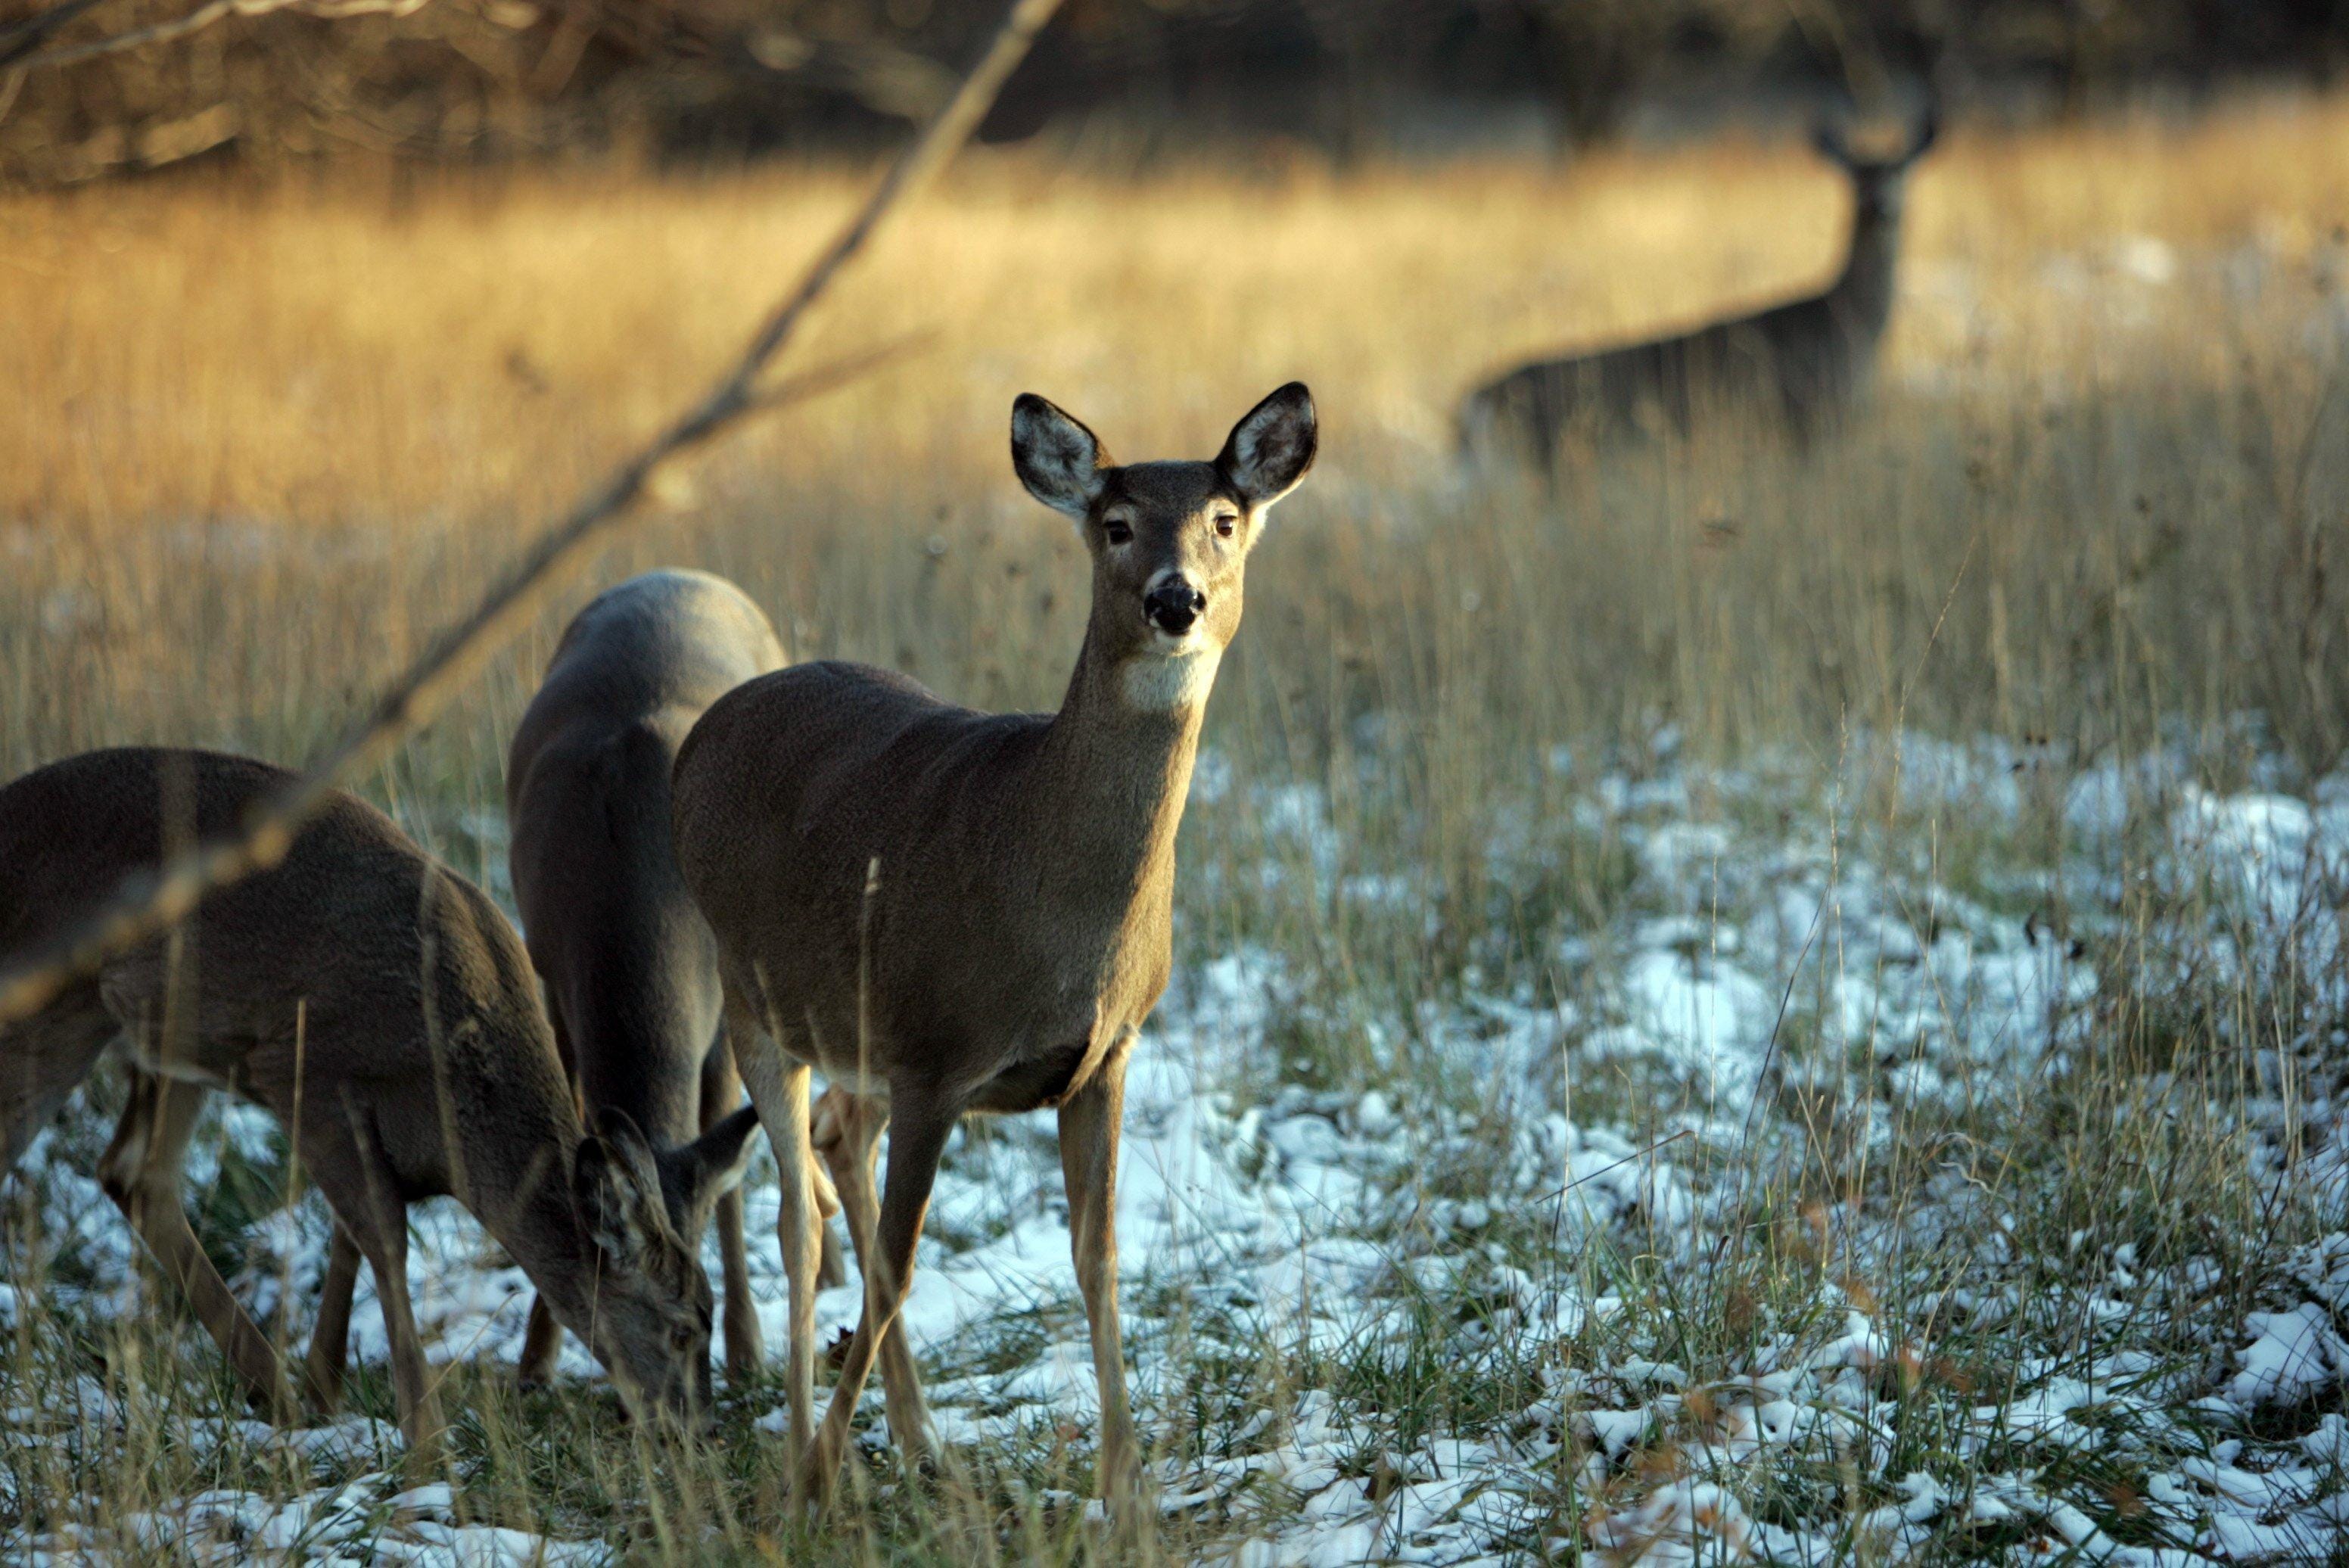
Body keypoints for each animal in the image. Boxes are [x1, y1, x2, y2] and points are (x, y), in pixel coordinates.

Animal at [0, 747, 753, 1463]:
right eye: (682, 1327)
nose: (699, 1431)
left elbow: (349, 1237)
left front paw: (322, 1391)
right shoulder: (311, 1077)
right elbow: (386, 1241)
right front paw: (427, 1439)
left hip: (174, 1033)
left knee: (133, 1171)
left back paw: (270, 1388)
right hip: (54, 1008)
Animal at [671, 383, 1318, 1512]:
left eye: (1224, 520)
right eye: (1115, 523)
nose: (1177, 599)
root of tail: (701, 736)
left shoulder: (1105, 1056)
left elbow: (1098, 1255)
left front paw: (1125, 1485)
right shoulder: (935, 1051)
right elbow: (898, 1265)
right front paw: (821, 1473)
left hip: (854, 1028)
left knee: (840, 1139)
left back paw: (917, 1439)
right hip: (756, 993)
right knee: (800, 1221)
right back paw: (807, 1457)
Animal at [1459, 103, 1938, 467]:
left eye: (1902, 171)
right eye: (1854, 176)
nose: (1879, 205)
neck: (1847, 323)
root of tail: (1483, 394)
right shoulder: (1805, 413)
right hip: (1558, 451)